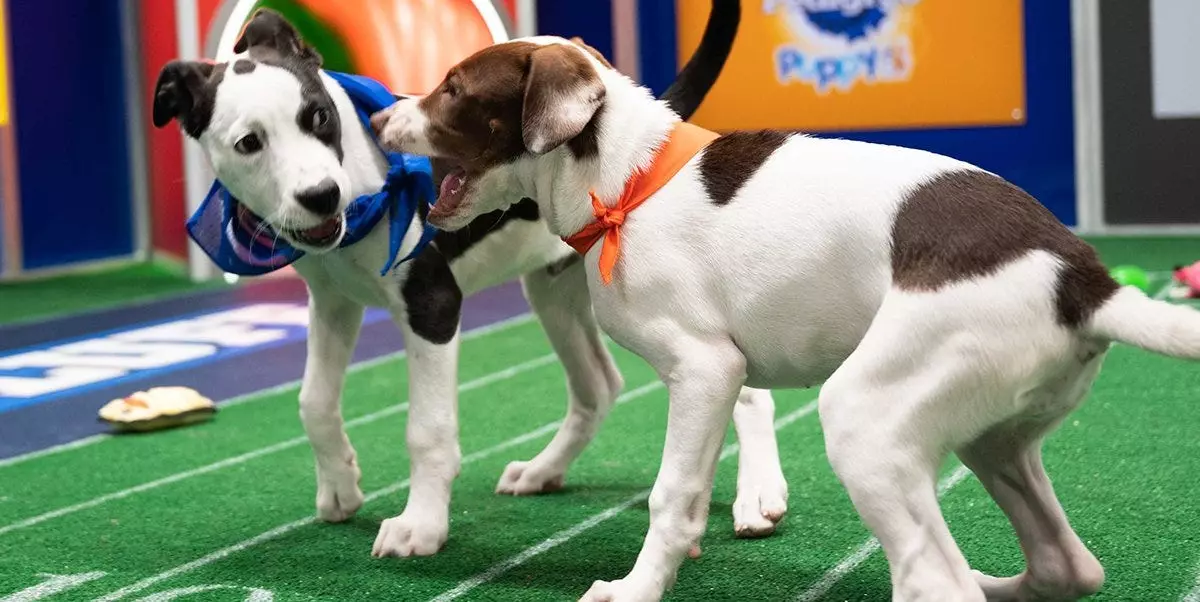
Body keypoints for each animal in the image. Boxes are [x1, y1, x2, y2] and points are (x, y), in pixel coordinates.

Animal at [150, 3, 787, 558]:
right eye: (249, 143)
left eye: (319, 118)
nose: (320, 196)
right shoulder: (332, 302)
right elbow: (314, 401)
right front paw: (340, 485)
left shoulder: (433, 305)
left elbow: (426, 429)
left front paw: (420, 526)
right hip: (554, 290)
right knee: (598, 385)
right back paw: (543, 470)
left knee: (744, 390)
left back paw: (758, 495)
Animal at [372, 31, 1200, 602]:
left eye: (453, 87)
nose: (380, 119)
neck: (626, 184)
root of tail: (1084, 278)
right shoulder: (712, 381)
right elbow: (692, 491)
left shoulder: (706, 369)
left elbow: (672, 498)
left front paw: (637, 589)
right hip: (994, 438)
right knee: (1067, 566)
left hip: (868, 420)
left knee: (938, 579)